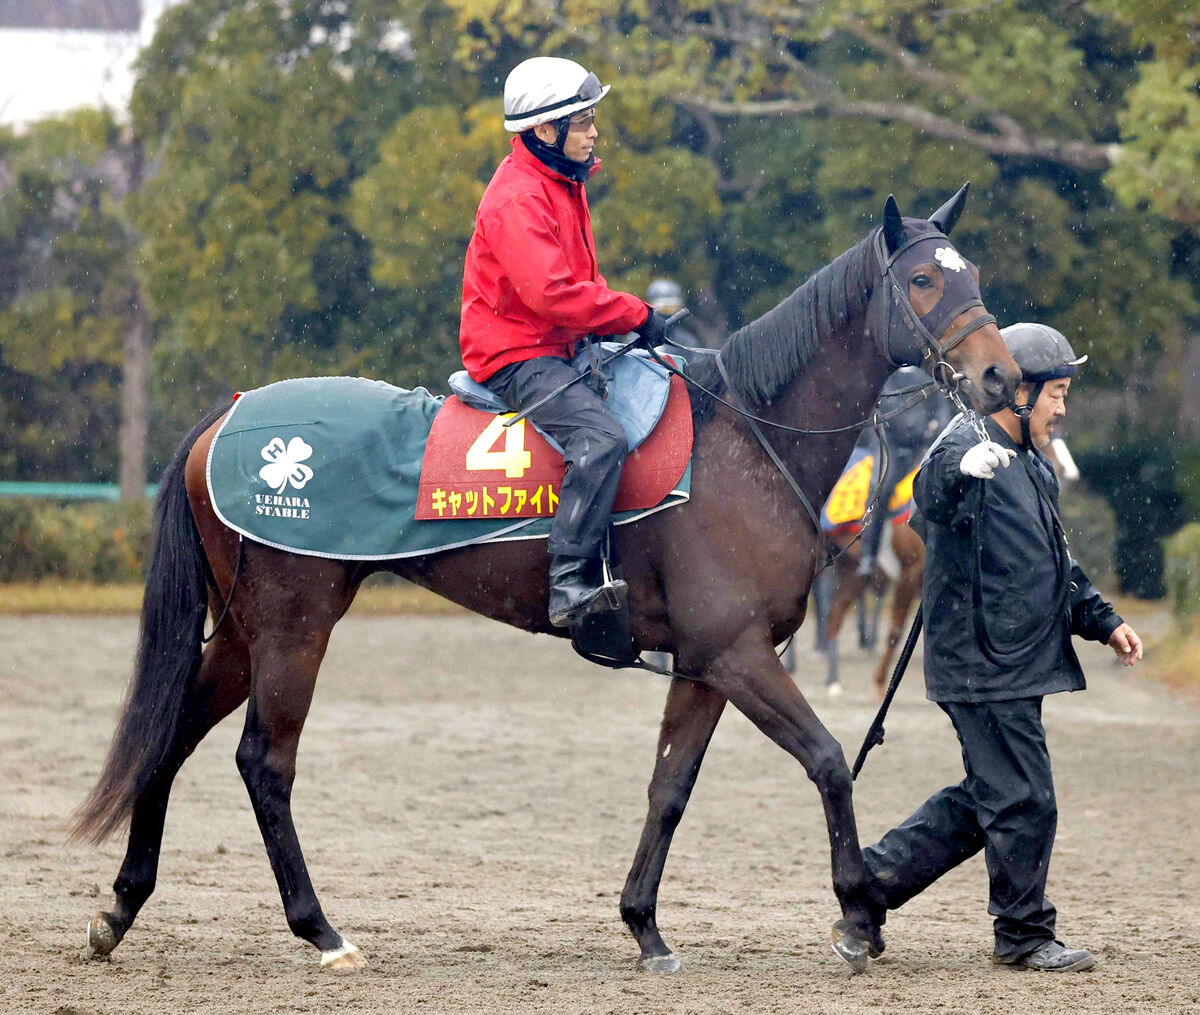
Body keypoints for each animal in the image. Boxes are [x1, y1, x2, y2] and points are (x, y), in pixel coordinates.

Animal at [72, 186, 1019, 974]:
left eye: (972, 274)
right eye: (925, 280)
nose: (1001, 377)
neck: (745, 433)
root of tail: (230, 412)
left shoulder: (707, 664)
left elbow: (670, 788)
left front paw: (645, 925)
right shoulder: (739, 653)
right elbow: (827, 762)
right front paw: (858, 915)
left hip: (244, 632)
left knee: (172, 736)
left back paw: (122, 906)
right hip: (293, 628)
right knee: (265, 763)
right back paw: (321, 929)